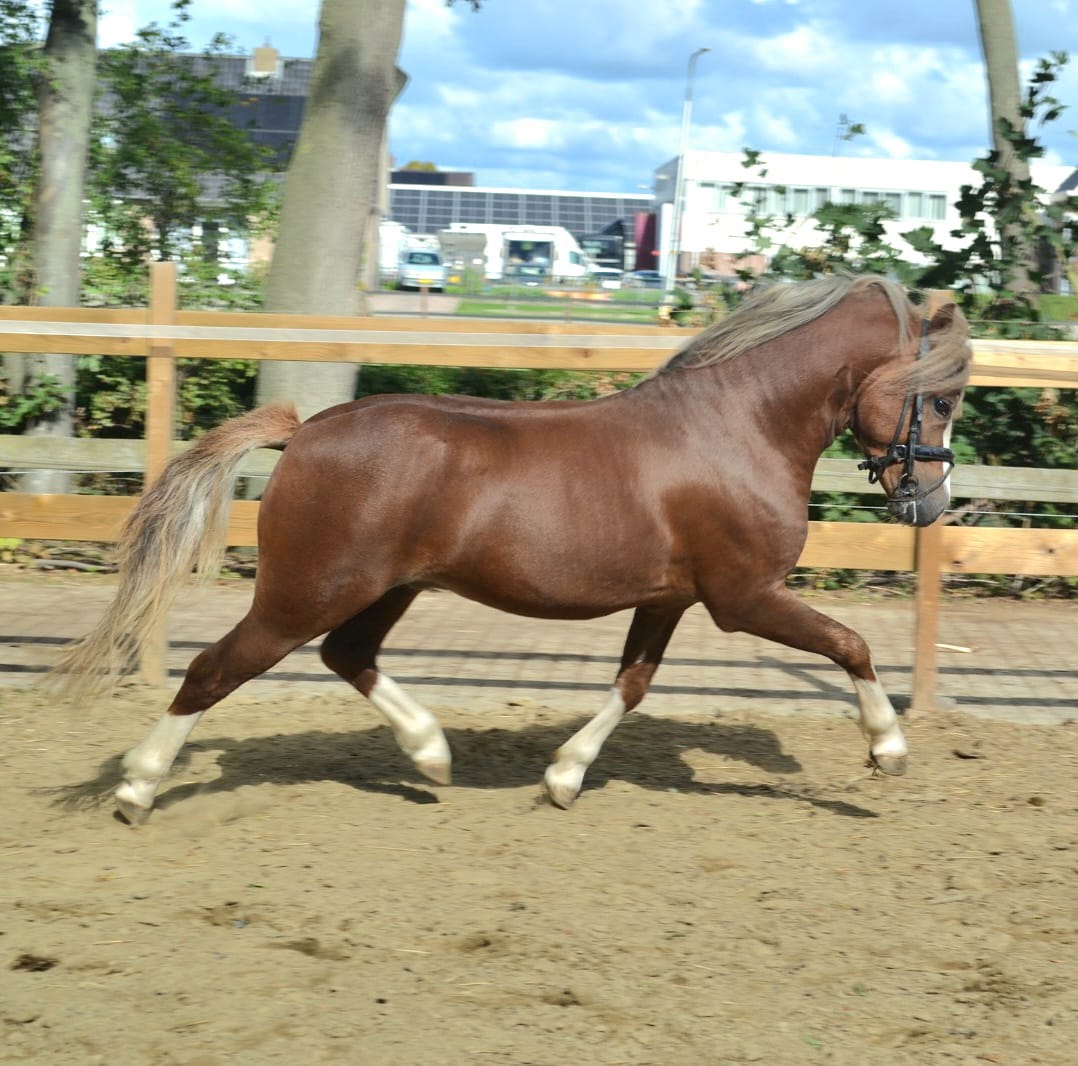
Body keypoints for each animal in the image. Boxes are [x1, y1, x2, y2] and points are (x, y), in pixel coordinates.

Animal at [54, 274, 971, 825]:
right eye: (942, 398)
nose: (929, 504)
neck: (737, 426)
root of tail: (303, 432)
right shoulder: (743, 598)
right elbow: (850, 644)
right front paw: (887, 752)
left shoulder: (669, 598)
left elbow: (632, 686)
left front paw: (563, 777)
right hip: (304, 593)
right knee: (216, 668)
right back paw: (136, 787)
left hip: (387, 588)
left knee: (348, 657)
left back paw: (432, 755)